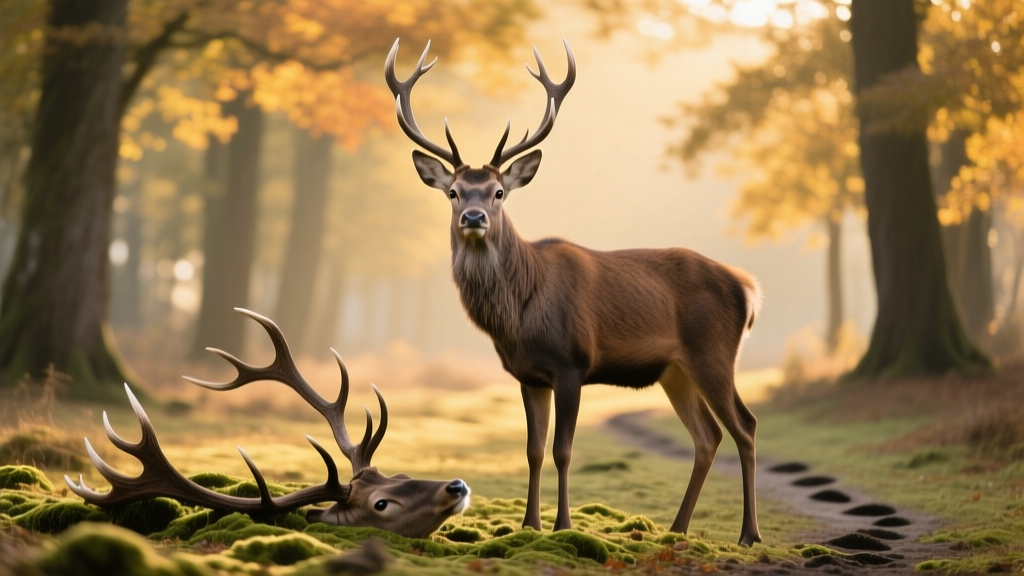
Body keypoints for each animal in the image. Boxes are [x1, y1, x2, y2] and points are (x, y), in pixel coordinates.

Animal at [385, 39, 763, 546]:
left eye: (499, 192)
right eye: (454, 192)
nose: (474, 218)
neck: (520, 315)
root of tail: (748, 289)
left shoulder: (571, 364)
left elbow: (563, 449)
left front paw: (562, 525)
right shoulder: (527, 375)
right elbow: (533, 449)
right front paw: (528, 524)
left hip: (714, 353)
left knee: (745, 426)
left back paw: (748, 534)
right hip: (674, 370)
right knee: (707, 436)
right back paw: (677, 529)